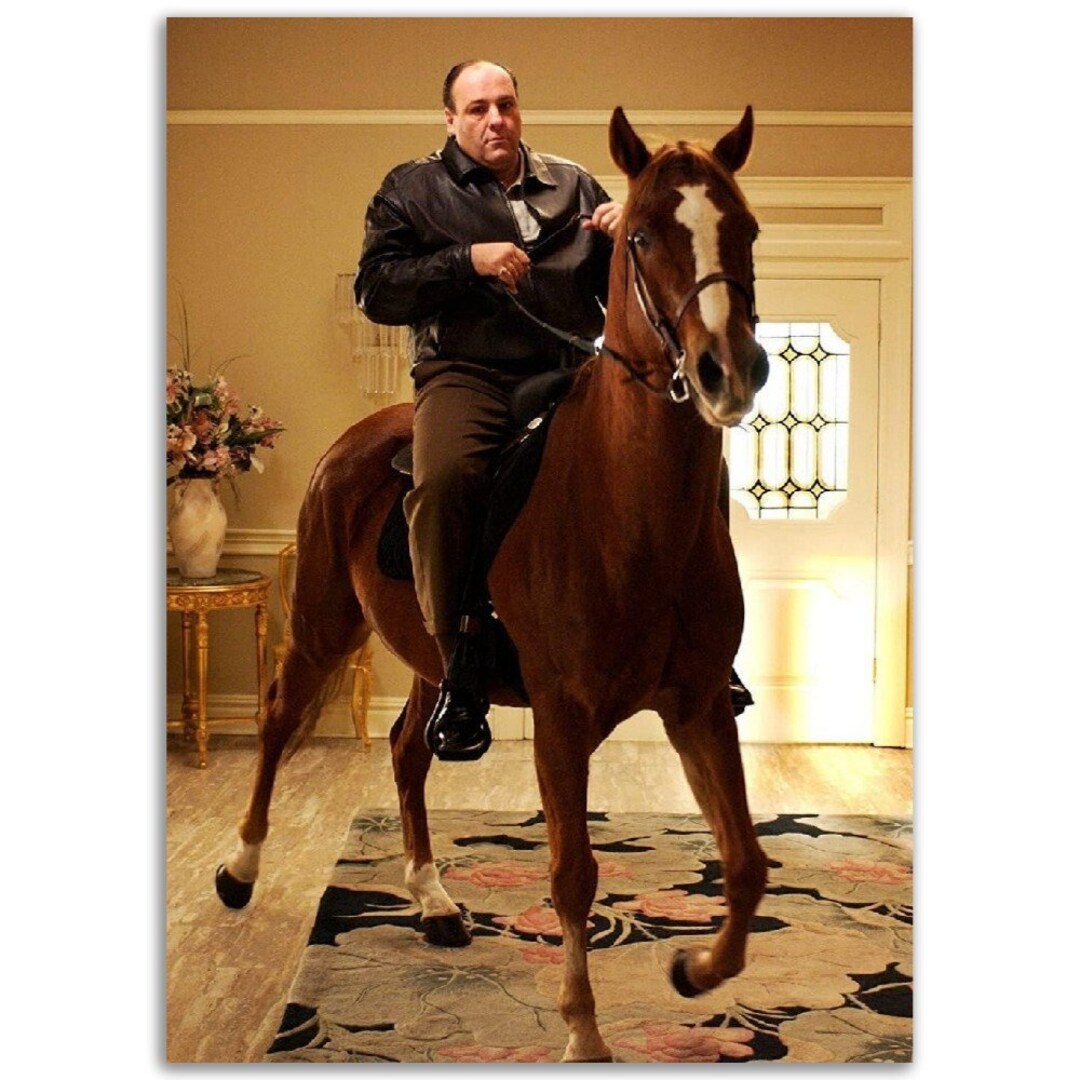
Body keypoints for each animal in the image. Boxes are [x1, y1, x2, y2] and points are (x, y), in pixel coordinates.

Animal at [215, 105, 771, 1063]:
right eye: (643, 234)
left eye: (746, 228)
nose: (728, 370)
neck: (625, 504)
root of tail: (355, 440)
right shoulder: (562, 719)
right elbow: (573, 872)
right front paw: (583, 1033)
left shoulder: (698, 705)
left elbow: (744, 860)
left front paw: (696, 970)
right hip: (323, 624)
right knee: (281, 718)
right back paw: (241, 869)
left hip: (434, 660)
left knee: (407, 748)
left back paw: (433, 898)